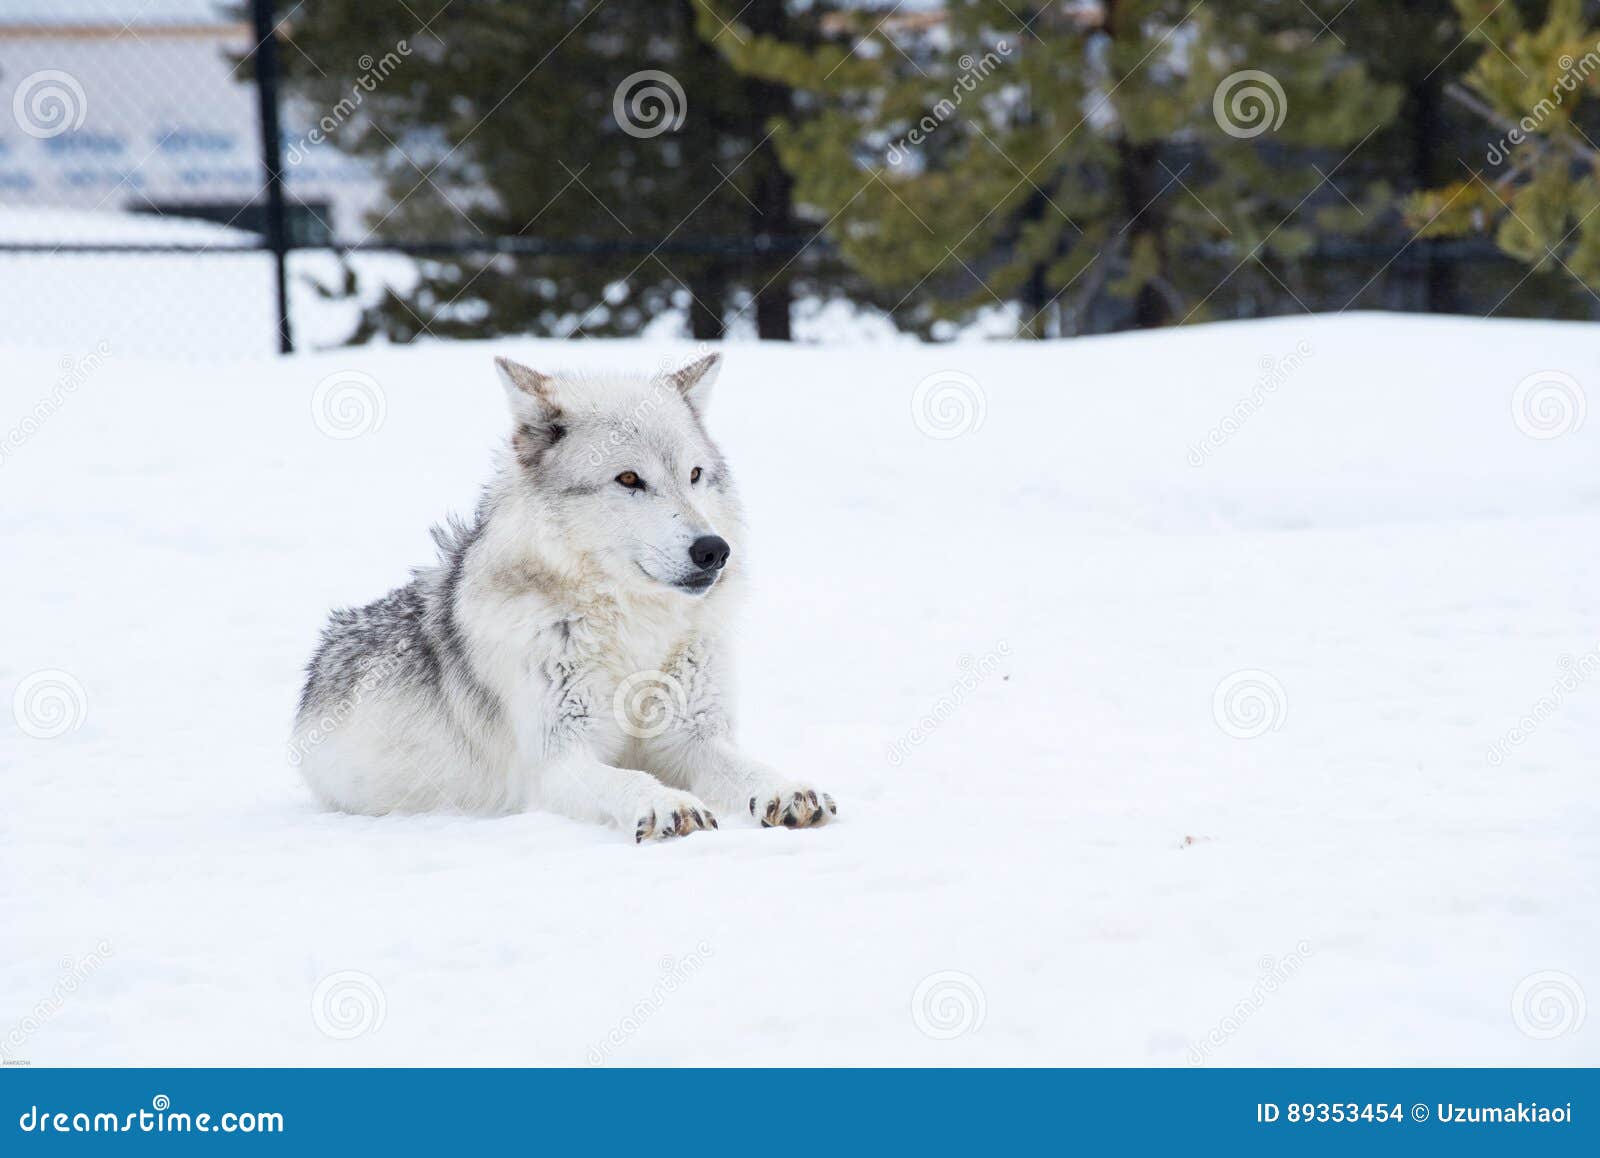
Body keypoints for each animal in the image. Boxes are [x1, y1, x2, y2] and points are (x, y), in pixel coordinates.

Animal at [292, 353, 836, 841]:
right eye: (630, 479)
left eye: (695, 475)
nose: (714, 550)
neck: (635, 633)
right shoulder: (557, 763)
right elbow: (628, 778)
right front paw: (665, 803)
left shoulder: (693, 738)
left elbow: (746, 767)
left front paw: (787, 789)